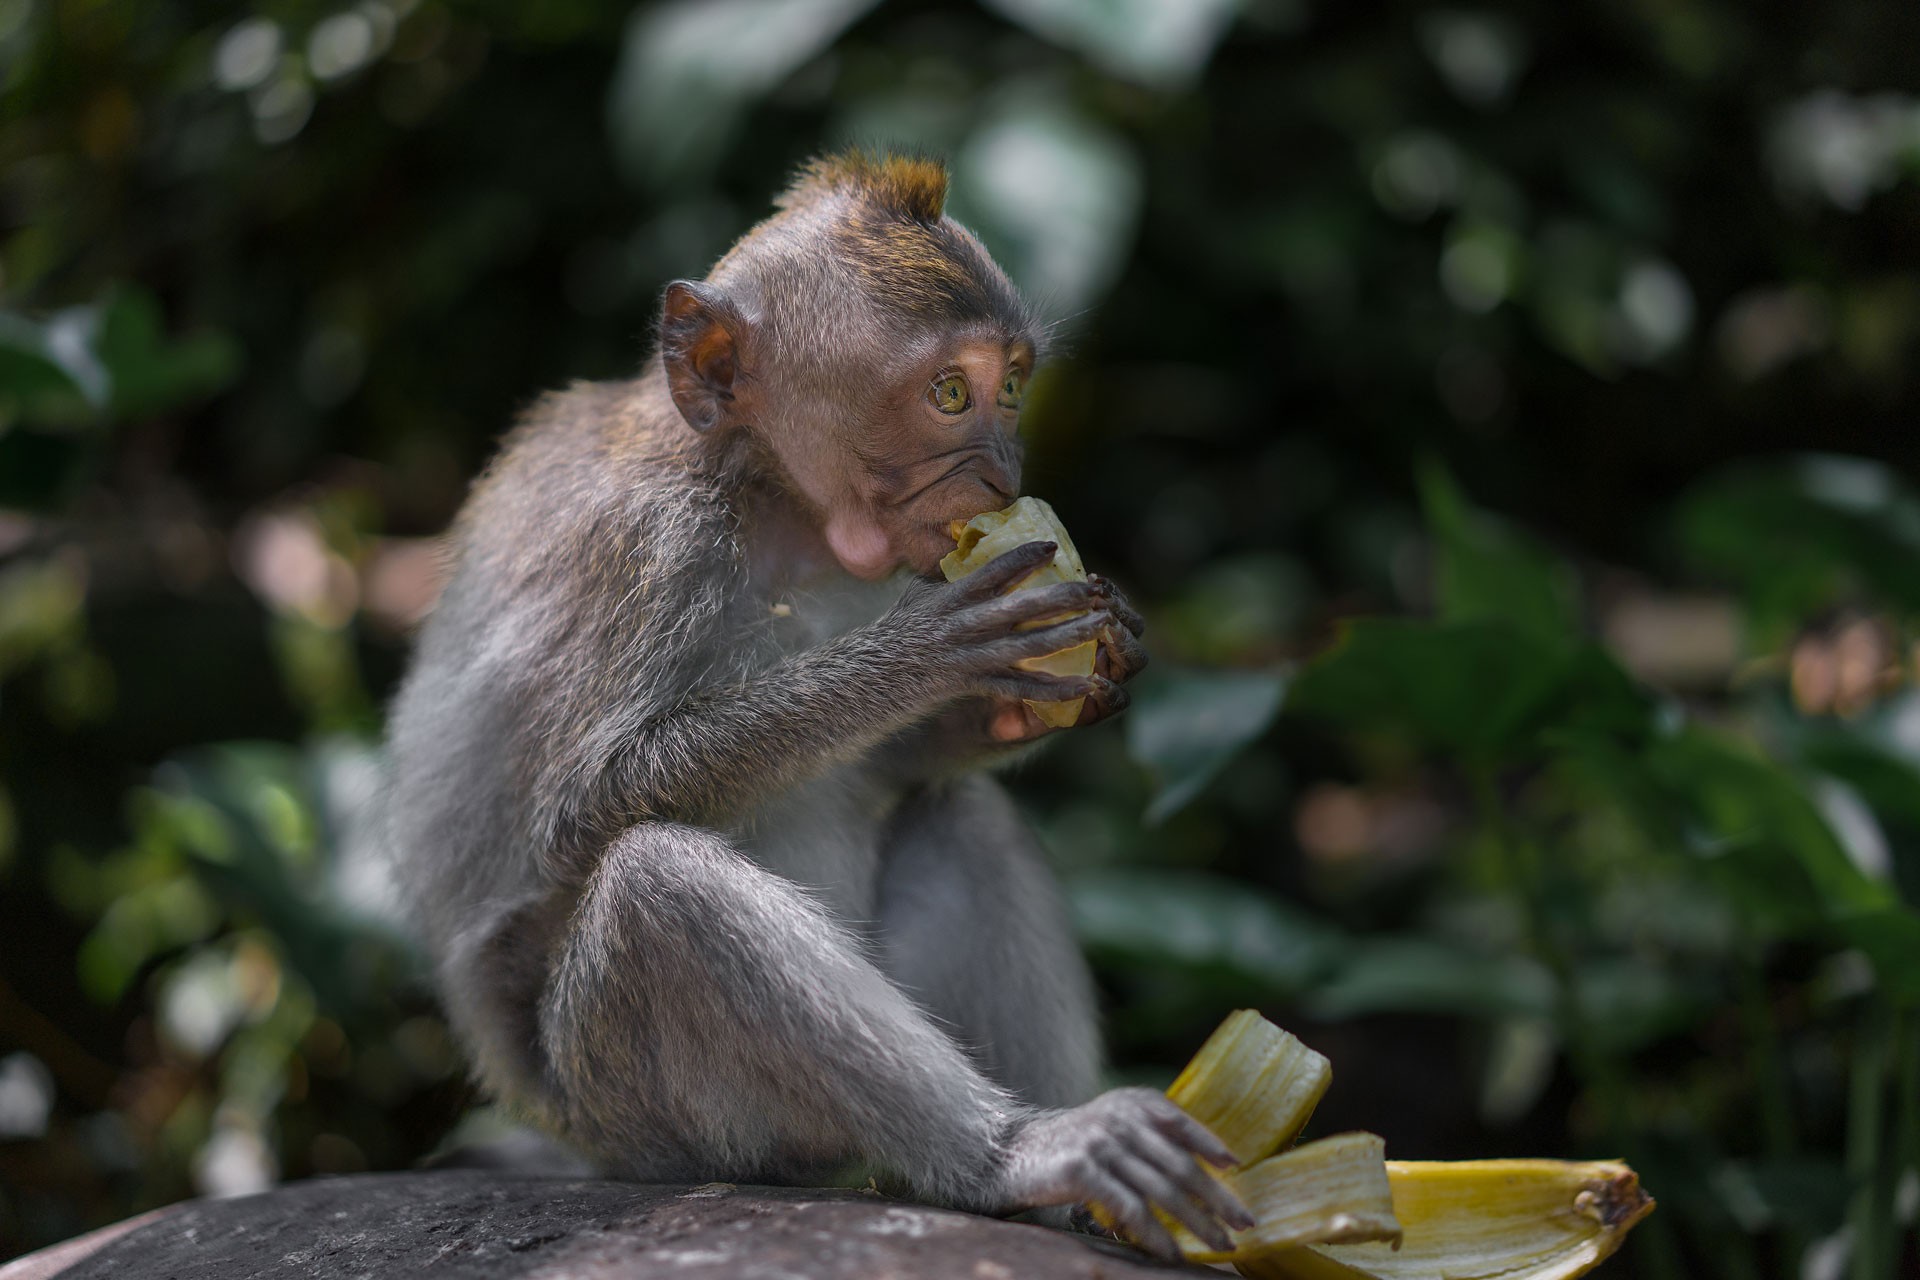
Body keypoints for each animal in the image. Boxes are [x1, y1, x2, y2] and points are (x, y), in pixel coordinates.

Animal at [380, 150, 1252, 1259]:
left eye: (1012, 387)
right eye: (949, 393)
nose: (1003, 475)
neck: (768, 497)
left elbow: (897, 769)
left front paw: (1045, 683)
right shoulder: (650, 547)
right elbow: (576, 811)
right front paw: (917, 660)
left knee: (964, 819)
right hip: (652, 1115)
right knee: (660, 888)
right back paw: (1012, 1155)